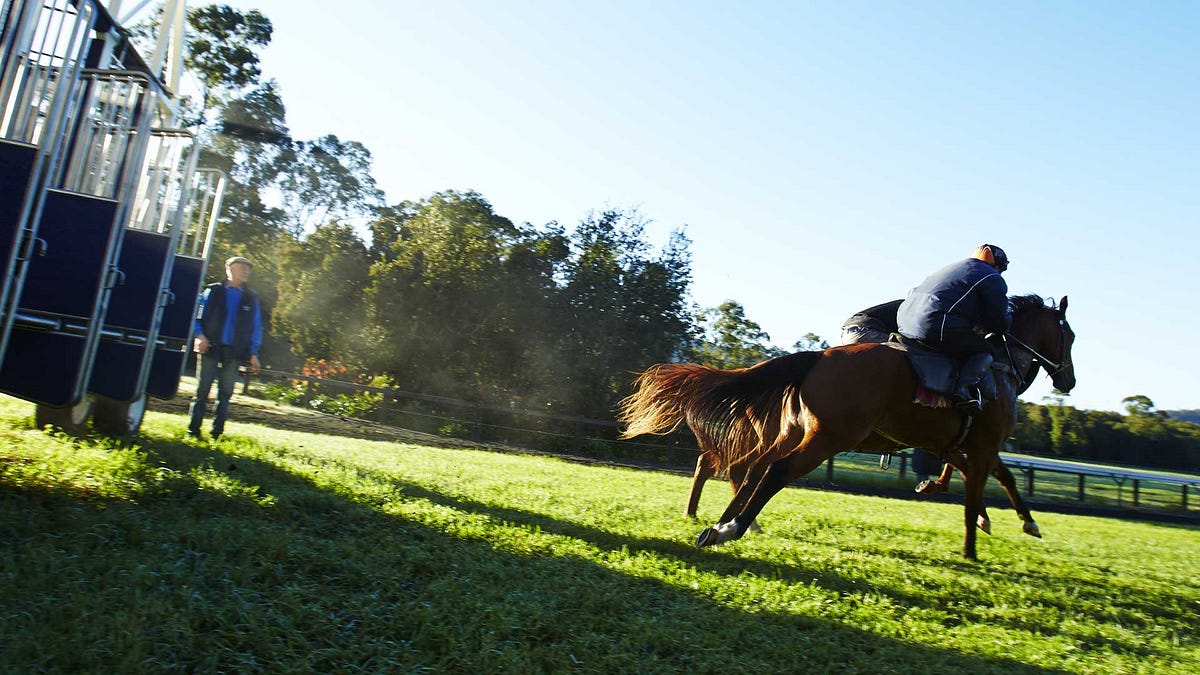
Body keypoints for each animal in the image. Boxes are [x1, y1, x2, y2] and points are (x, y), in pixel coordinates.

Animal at [620, 295, 1075, 560]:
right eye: (1068, 335)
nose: (1067, 380)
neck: (1000, 364)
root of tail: (818, 357)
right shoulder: (981, 443)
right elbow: (989, 483)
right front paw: (978, 542)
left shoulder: (956, 443)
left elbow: (986, 476)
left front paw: (987, 513)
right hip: (829, 436)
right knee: (771, 472)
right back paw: (731, 527)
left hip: (794, 431)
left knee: (748, 470)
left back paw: (720, 525)